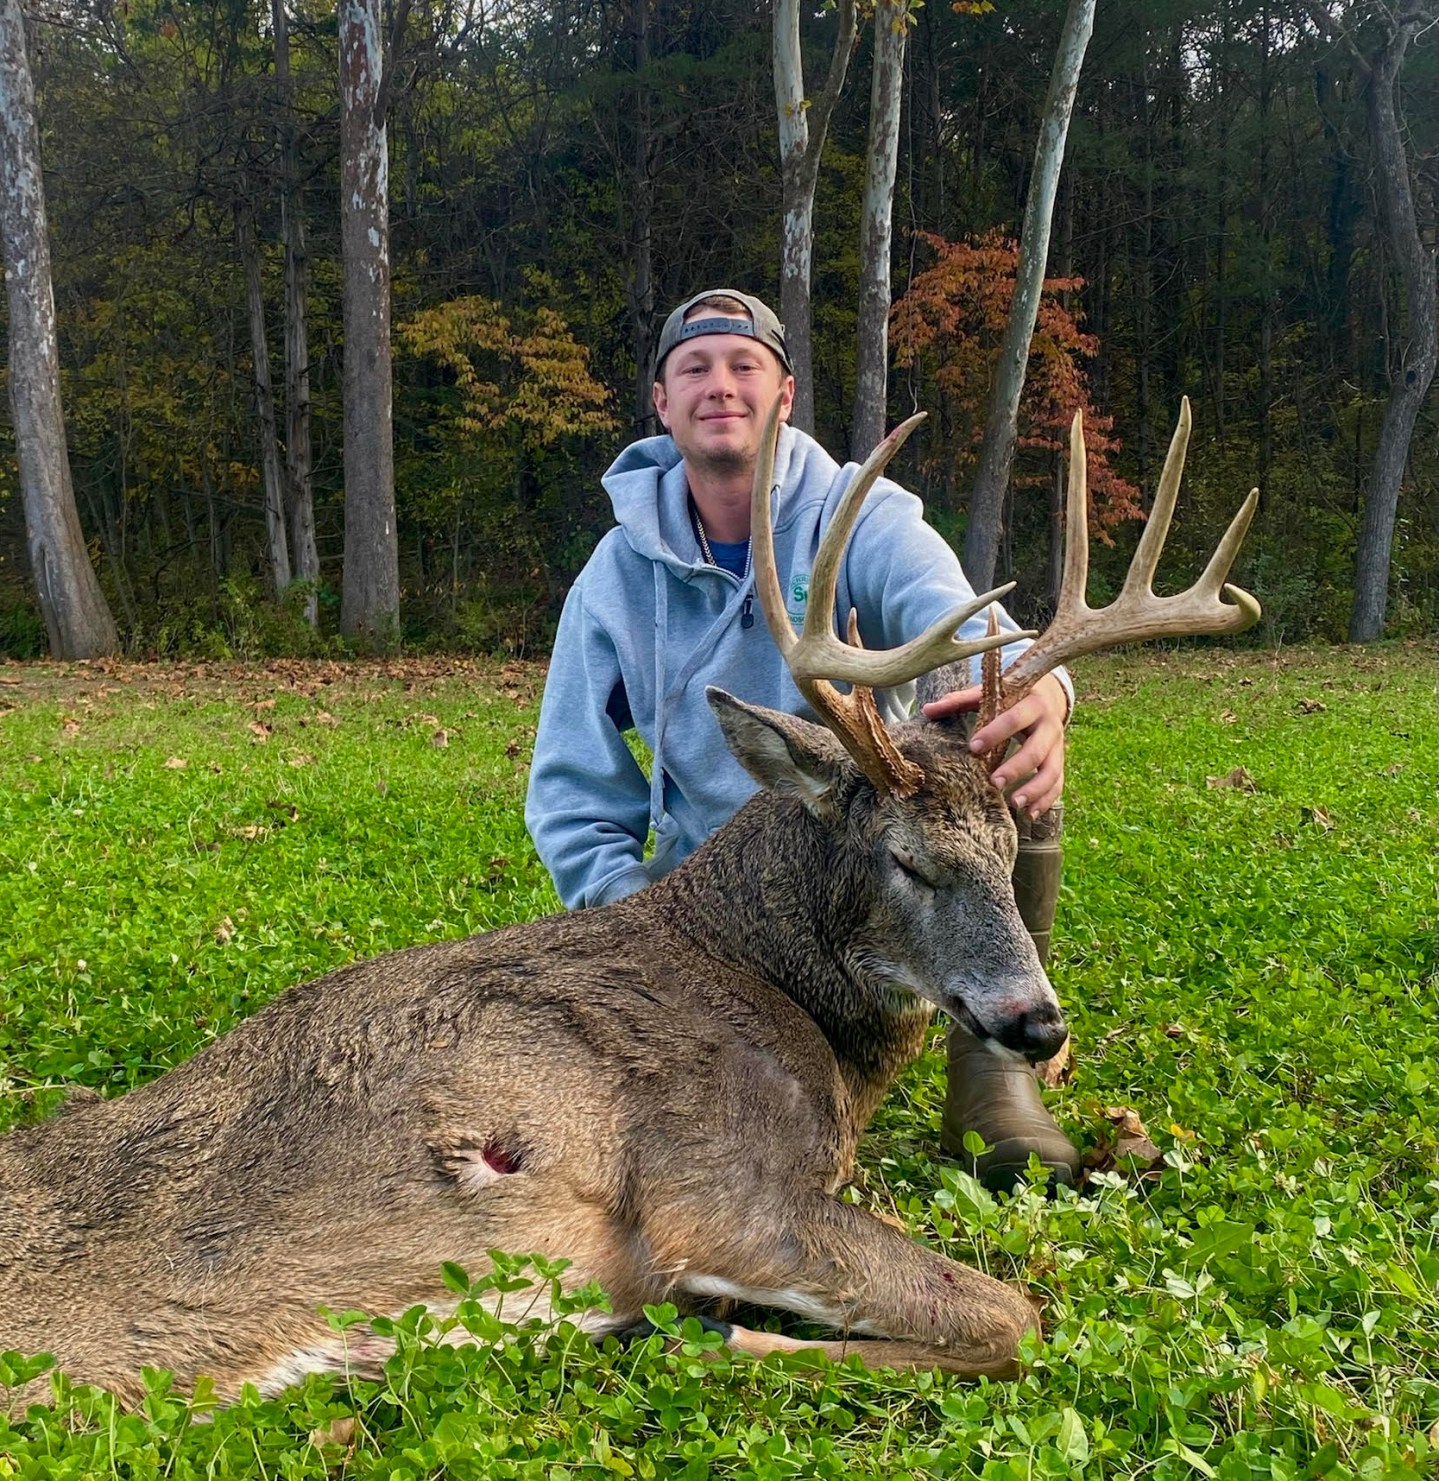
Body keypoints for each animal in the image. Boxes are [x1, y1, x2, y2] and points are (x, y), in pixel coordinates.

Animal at [0, 398, 1259, 1413]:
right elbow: (1010, 1315)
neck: (768, 979)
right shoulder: (714, 1187)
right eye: (906, 858)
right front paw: (724, 1339)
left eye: (1007, 848)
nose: (1034, 1021)